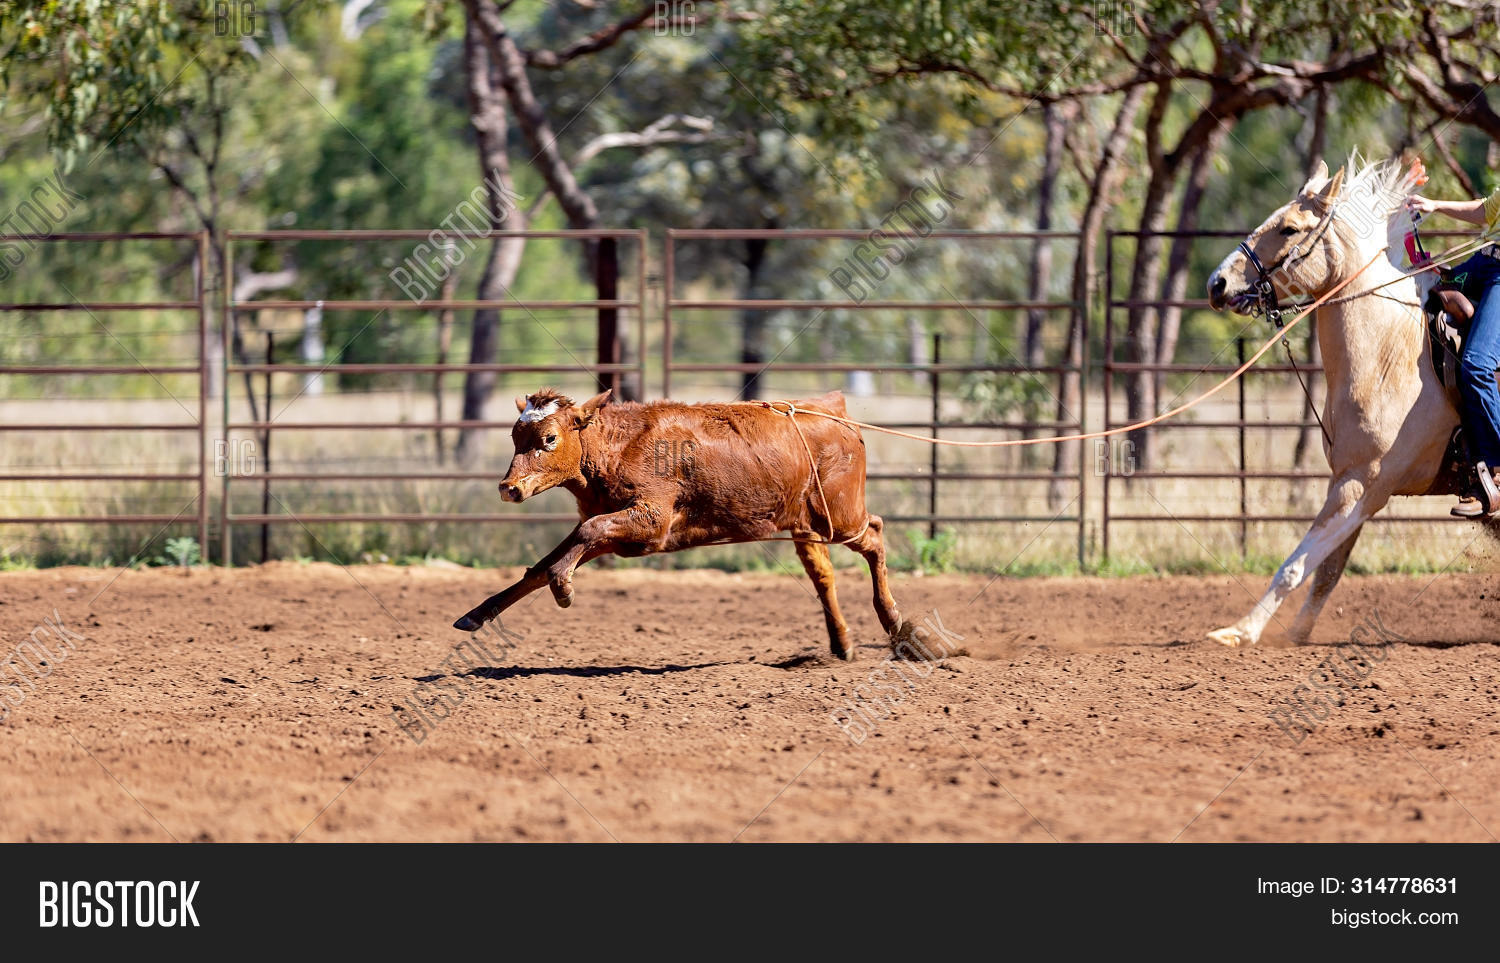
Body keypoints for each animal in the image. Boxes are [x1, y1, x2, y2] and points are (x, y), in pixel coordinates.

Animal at [452, 387, 908, 661]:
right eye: (516, 438)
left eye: (549, 438)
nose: (508, 488)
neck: (618, 449)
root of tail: (834, 410)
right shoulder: (621, 532)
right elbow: (543, 565)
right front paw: (477, 614)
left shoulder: (651, 522)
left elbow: (585, 534)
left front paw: (563, 587)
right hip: (807, 524)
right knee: (822, 573)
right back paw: (842, 642)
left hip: (843, 517)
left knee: (875, 535)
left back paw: (893, 621)